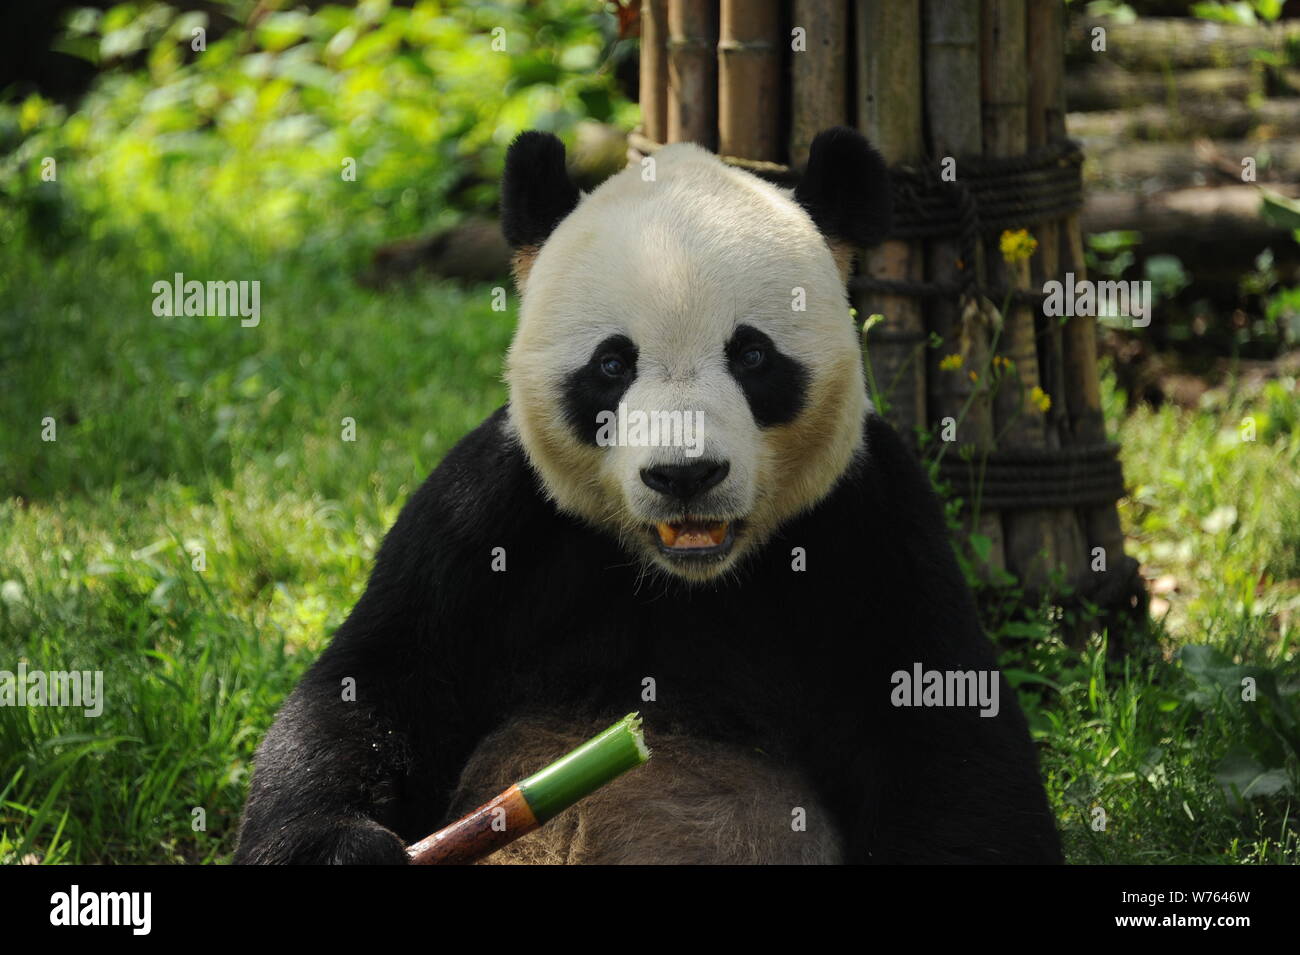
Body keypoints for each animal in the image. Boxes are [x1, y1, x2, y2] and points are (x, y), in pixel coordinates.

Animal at [234, 127, 1062, 865]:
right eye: (612, 364)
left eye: (752, 354)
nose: (685, 474)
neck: (681, 579)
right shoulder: (489, 512)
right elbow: (374, 683)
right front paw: (342, 847)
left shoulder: (872, 522)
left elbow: (948, 735)